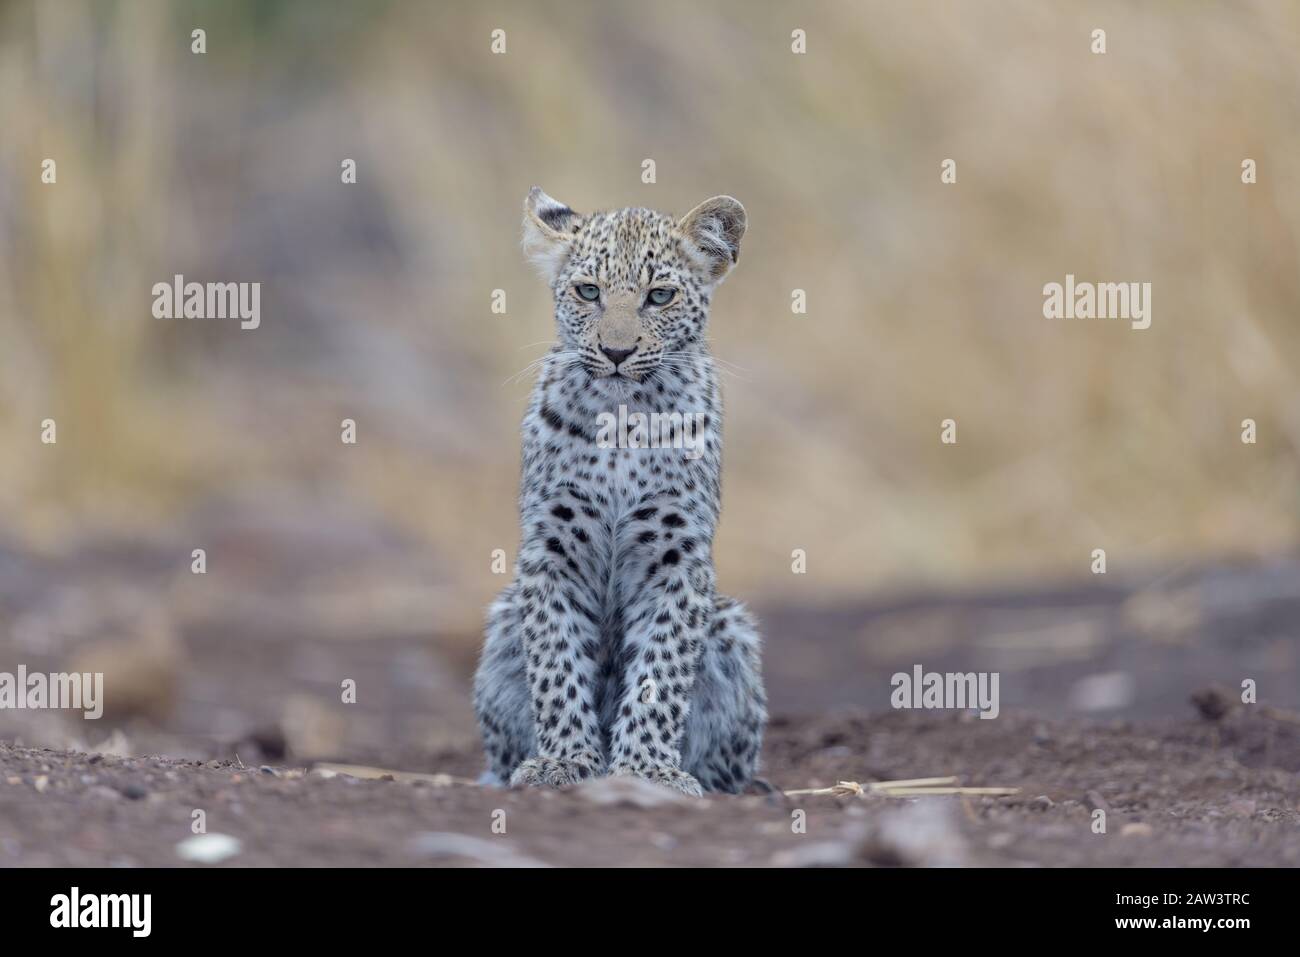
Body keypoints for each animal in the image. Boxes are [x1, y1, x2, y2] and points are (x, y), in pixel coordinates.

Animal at [472, 187, 767, 796]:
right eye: (589, 291)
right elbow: (556, 661)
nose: (615, 353)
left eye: (660, 296)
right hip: (505, 622)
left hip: (731, 629)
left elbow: (662, 670)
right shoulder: (552, 550)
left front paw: (646, 769)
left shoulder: (677, 555)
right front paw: (563, 761)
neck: (623, 418)